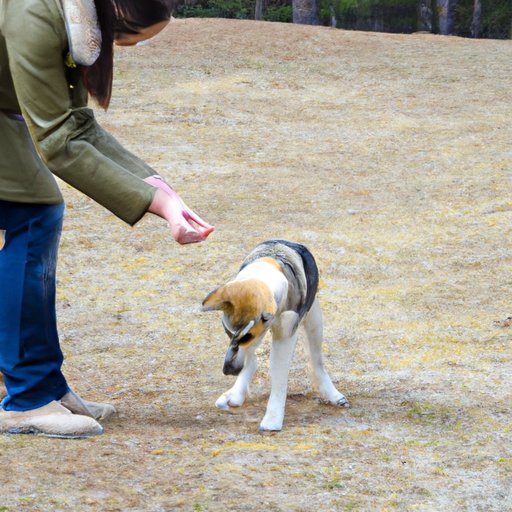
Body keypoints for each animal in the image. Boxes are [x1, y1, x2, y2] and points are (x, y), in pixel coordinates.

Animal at [200, 238, 348, 430]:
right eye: (227, 333)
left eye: (245, 335)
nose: (228, 370)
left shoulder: (282, 335)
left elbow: (279, 374)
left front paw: (272, 419)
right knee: (252, 359)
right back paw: (236, 392)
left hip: (314, 319)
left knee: (316, 361)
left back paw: (332, 393)